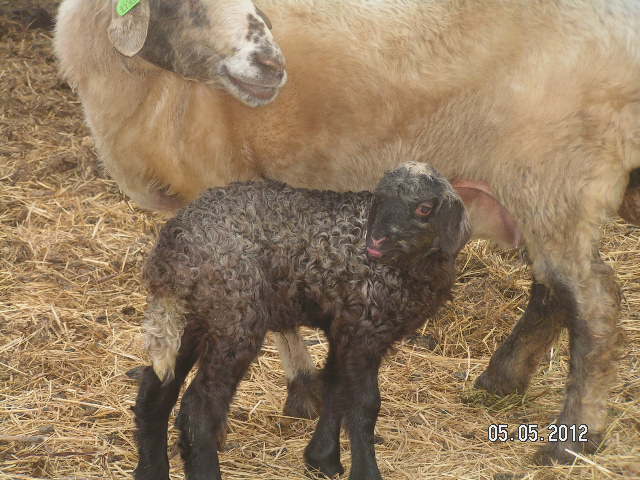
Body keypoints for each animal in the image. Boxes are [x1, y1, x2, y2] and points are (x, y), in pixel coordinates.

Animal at [133, 161, 470, 480]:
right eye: (381, 199)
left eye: (424, 208)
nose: (376, 240)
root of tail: (171, 254)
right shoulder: (363, 332)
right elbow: (364, 403)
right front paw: (364, 472)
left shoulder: (344, 327)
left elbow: (336, 388)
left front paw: (323, 459)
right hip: (236, 321)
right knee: (199, 408)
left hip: (196, 318)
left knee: (156, 390)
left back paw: (151, 471)